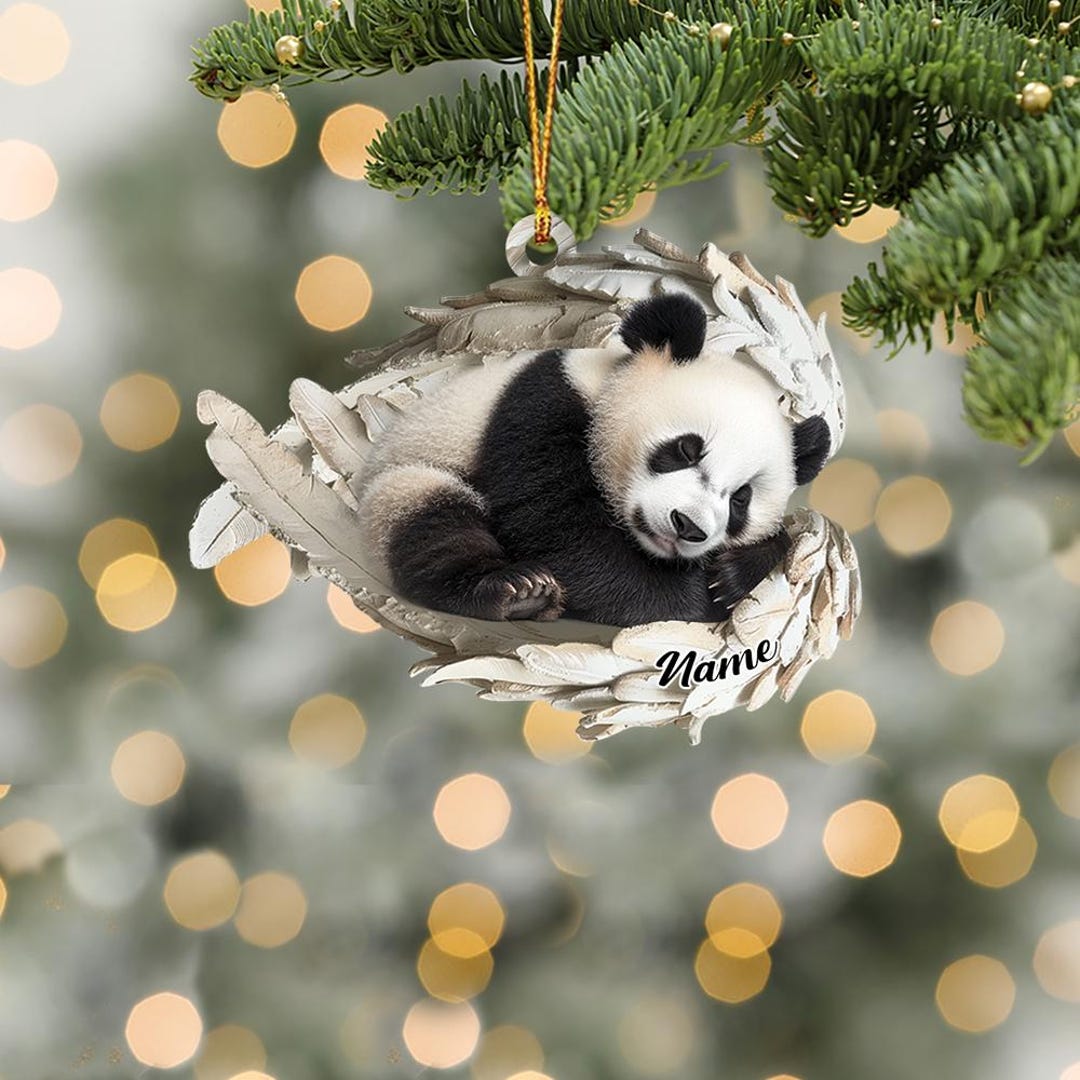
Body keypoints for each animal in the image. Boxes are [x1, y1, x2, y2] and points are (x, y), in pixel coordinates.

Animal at [355, 293, 831, 627]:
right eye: (686, 449)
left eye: (741, 500)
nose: (688, 527)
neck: (605, 386)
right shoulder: (542, 407)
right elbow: (562, 531)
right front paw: (694, 596)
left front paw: (732, 576)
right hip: (406, 477)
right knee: (433, 523)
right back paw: (514, 590)